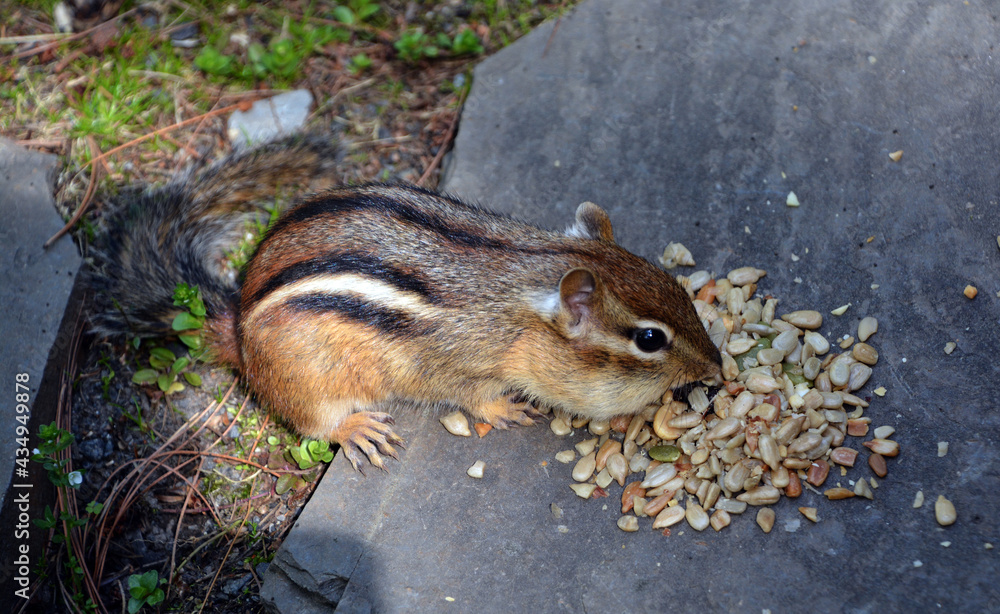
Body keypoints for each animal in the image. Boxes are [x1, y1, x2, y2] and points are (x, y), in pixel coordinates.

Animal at [91, 134, 722, 472]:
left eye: (678, 288)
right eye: (649, 339)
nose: (717, 369)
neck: (522, 301)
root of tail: (238, 331)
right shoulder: (454, 363)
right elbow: (472, 395)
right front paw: (505, 408)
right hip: (306, 376)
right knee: (313, 424)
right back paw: (356, 429)